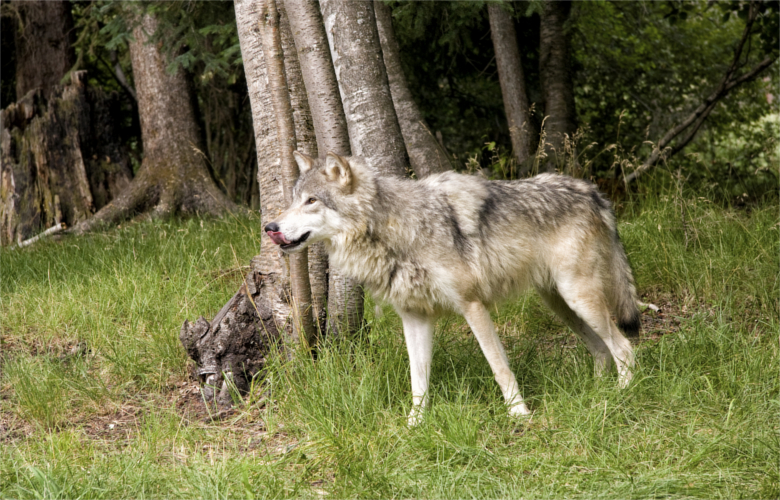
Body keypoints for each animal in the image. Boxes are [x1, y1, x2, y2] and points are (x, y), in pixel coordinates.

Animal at [265, 152, 640, 425]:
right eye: (294, 200)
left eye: (311, 201)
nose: (270, 227)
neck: (395, 230)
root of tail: (592, 192)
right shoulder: (414, 317)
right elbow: (418, 380)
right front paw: (414, 425)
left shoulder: (472, 305)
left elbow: (499, 367)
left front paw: (519, 414)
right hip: (561, 304)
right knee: (602, 350)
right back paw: (596, 393)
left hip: (579, 299)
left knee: (623, 347)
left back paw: (622, 395)